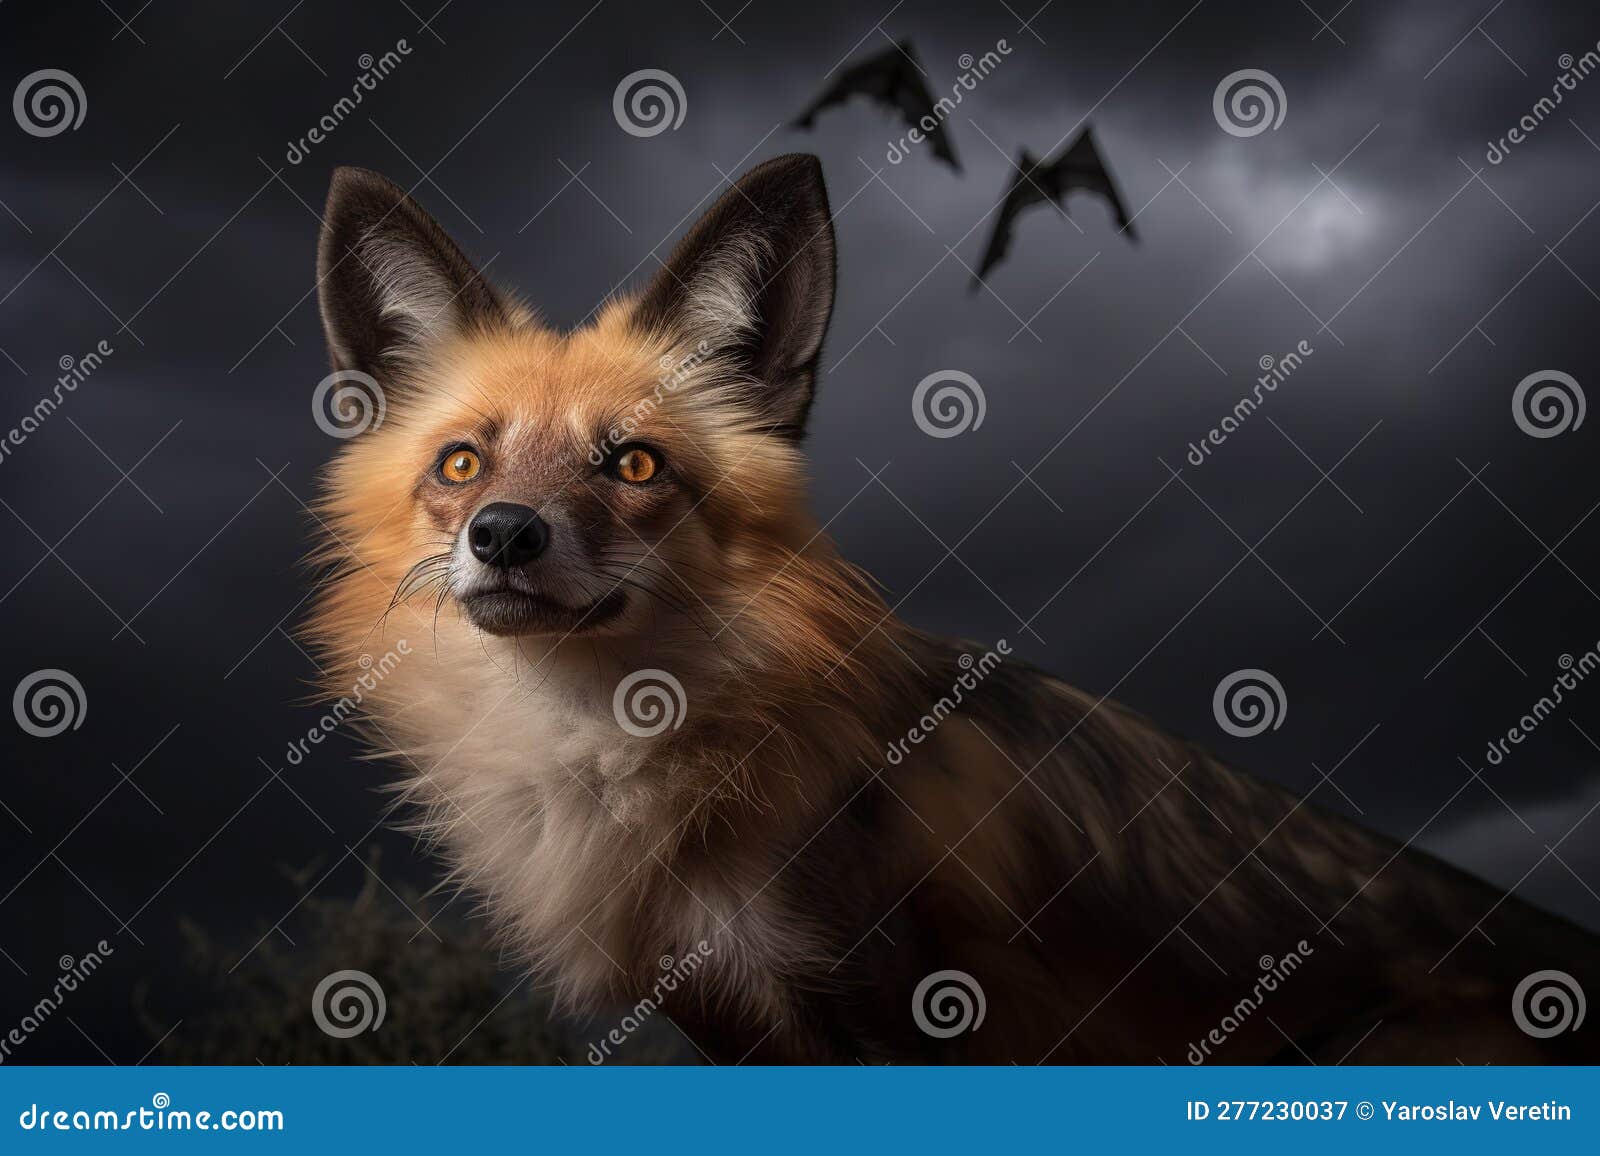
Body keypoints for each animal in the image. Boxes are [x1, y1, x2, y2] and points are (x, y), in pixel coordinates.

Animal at [306, 155, 1598, 1064]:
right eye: (463, 464)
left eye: (631, 465)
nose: (504, 537)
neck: (618, 759)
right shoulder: (733, 1024)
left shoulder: (901, 1006)